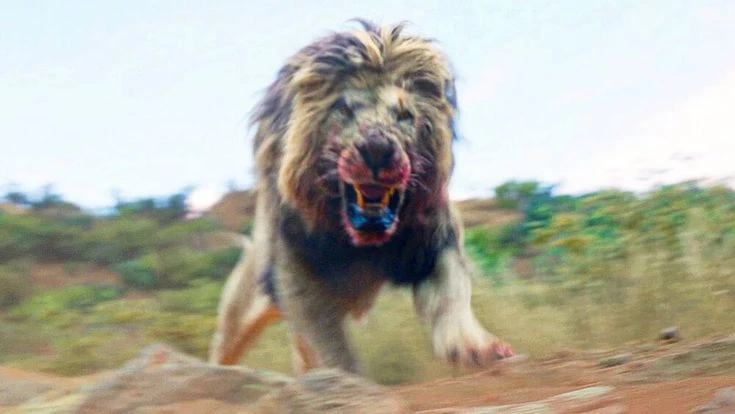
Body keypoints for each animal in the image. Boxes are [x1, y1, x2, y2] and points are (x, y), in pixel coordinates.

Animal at [209, 19, 514, 375]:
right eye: (343, 108)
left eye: (405, 115)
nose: (377, 148)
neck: (360, 243)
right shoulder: (296, 276)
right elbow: (331, 346)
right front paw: (345, 378)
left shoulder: (434, 245)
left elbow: (450, 297)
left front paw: (475, 347)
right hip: (240, 313)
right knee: (226, 348)